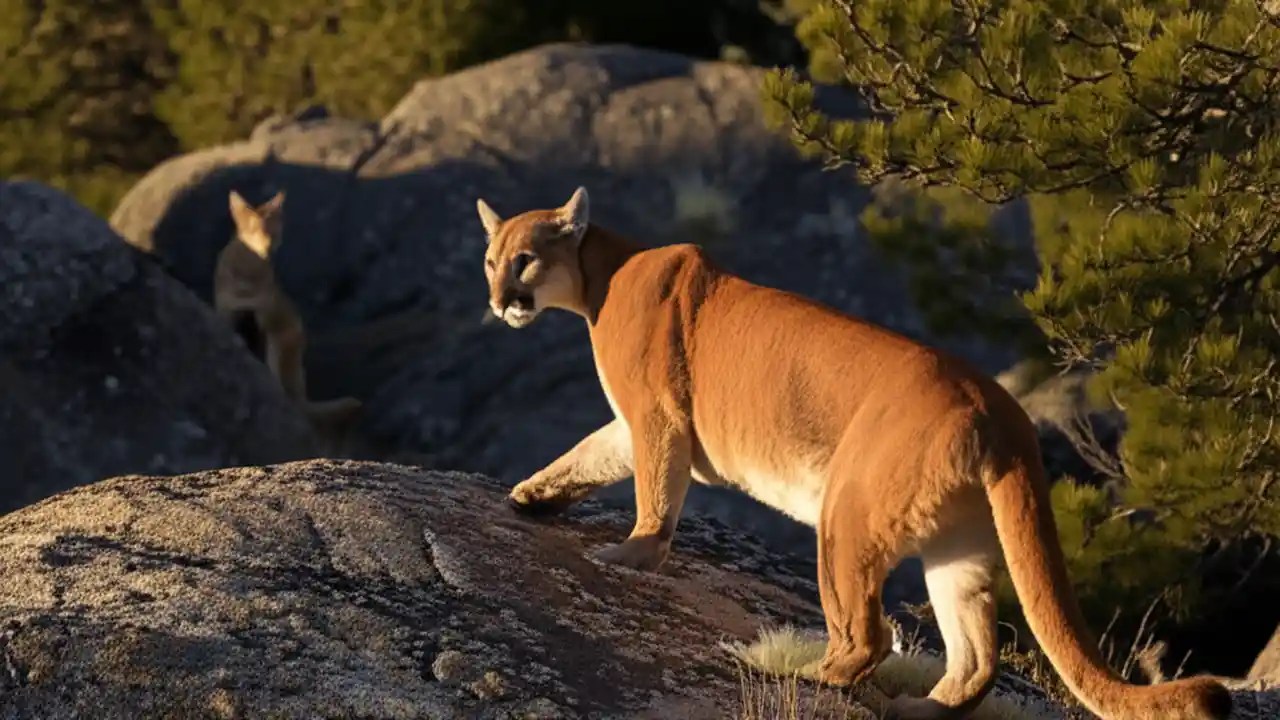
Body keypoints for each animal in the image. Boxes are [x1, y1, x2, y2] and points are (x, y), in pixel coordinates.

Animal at [474, 187, 1232, 720]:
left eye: (524, 259)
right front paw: (532, 493)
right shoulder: (631, 424)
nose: (501, 299)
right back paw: (920, 708)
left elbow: (653, 491)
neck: (598, 275)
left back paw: (794, 673)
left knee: (871, 635)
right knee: (975, 658)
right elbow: (588, 452)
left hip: (847, 510)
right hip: (959, 544)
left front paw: (629, 554)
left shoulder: (658, 417)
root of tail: (1001, 410)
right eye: (489, 259)